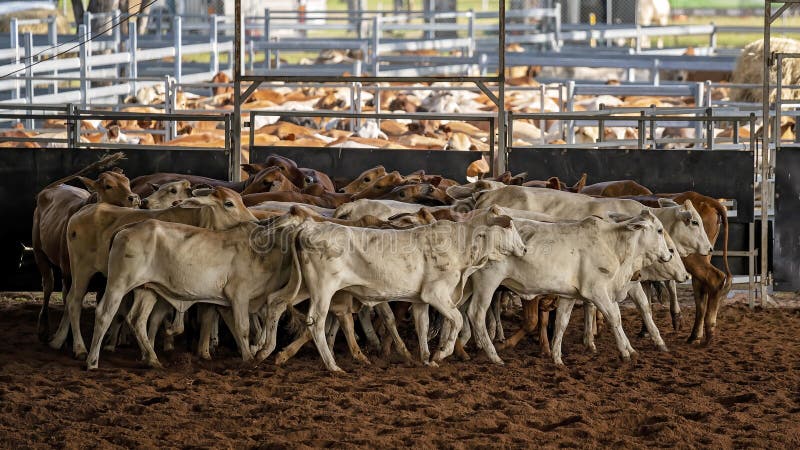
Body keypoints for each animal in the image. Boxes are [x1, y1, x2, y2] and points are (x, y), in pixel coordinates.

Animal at [32, 153, 137, 342]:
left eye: (127, 181)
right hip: (39, 252)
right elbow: (70, 298)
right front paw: (67, 338)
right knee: (48, 285)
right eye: (108, 186)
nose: (133, 197)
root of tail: (48, 190)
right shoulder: (68, 270)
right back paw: (43, 327)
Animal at [48, 187, 257, 359]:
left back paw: (58, 340)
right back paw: (79, 348)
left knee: (69, 301)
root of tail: (81, 212)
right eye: (229, 203)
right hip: (82, 270)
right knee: (74, 302)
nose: (255, 221)